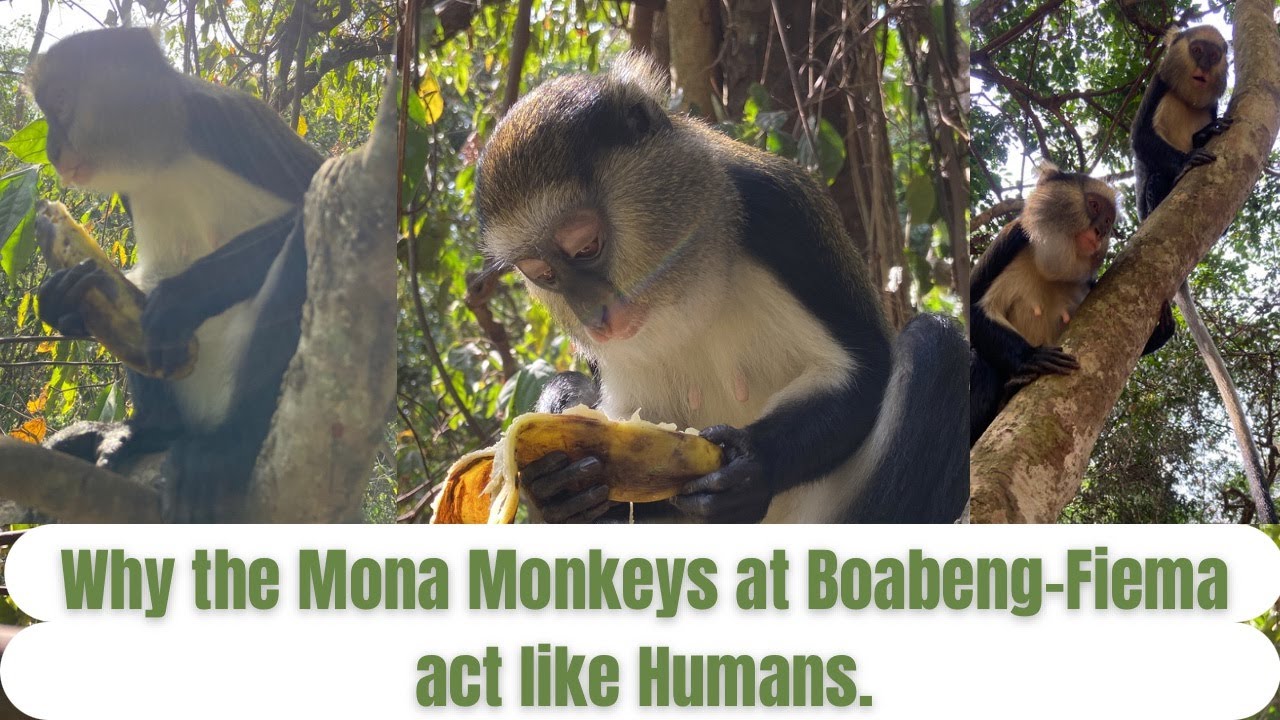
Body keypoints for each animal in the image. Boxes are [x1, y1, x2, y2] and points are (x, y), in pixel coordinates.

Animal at [26, 28, 323, 521]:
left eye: (62, 102)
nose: (52, 151)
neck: (163, 157)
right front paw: (63, 299)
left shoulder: (224, 121)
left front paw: (185, 297)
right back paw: (153, 432)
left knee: (303, 247)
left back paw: (232, 444)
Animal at [474, 54, 968, 524]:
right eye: (544, 274)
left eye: (586, 247)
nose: (593, 316)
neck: (685, 288)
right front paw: (557, 490)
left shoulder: (777, 211)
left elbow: (865, 368)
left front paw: (753, 469)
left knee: (935, 343)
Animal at [969, 164, 1174, 446]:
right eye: (1094, 206)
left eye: (1108, 221)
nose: (1100, 231)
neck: (1051, 268)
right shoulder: (1010, 240)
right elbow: (972, 309)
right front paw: (1031, 356)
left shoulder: (1086, 284)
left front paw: (1163, 329)